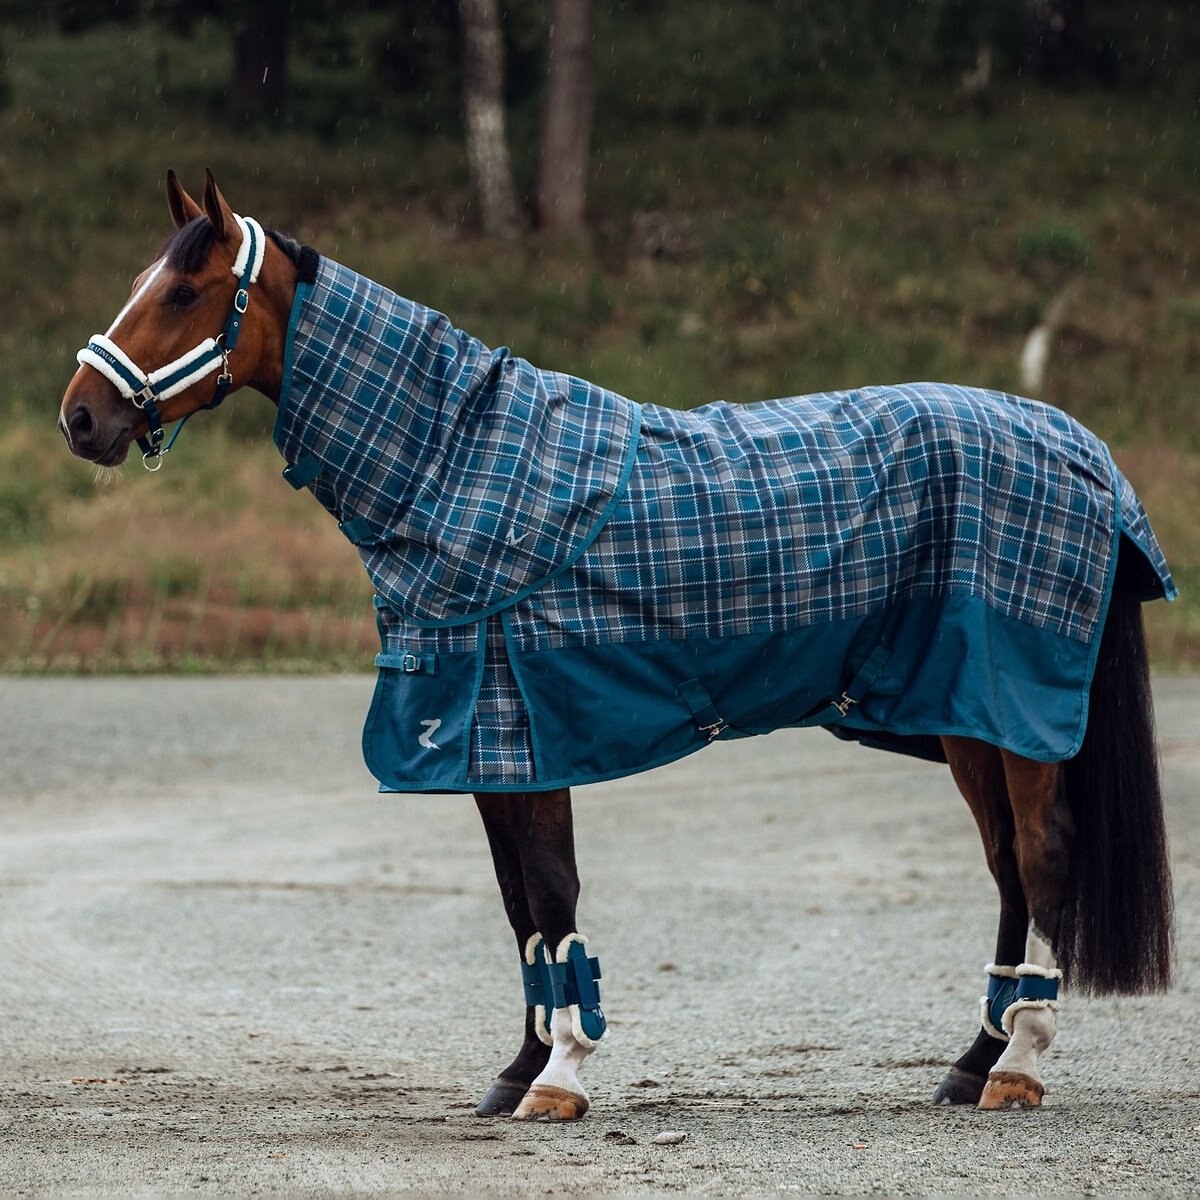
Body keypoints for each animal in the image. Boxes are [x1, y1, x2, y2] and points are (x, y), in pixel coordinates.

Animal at [59, 170, 1175, 1122]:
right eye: (141, 282)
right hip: (968, 720)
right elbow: (522, 910)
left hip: (1015, 715)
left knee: (1044, 854)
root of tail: (1078, 444)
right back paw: (971, 1062)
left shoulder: (528, 733)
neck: (459, 467)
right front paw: (517, 1071)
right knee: (1009, 870)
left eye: (186, 290)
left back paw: (1019, 1066)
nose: (81, 417)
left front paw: (561, 1074)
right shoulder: (490, 750)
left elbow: (552, 895)